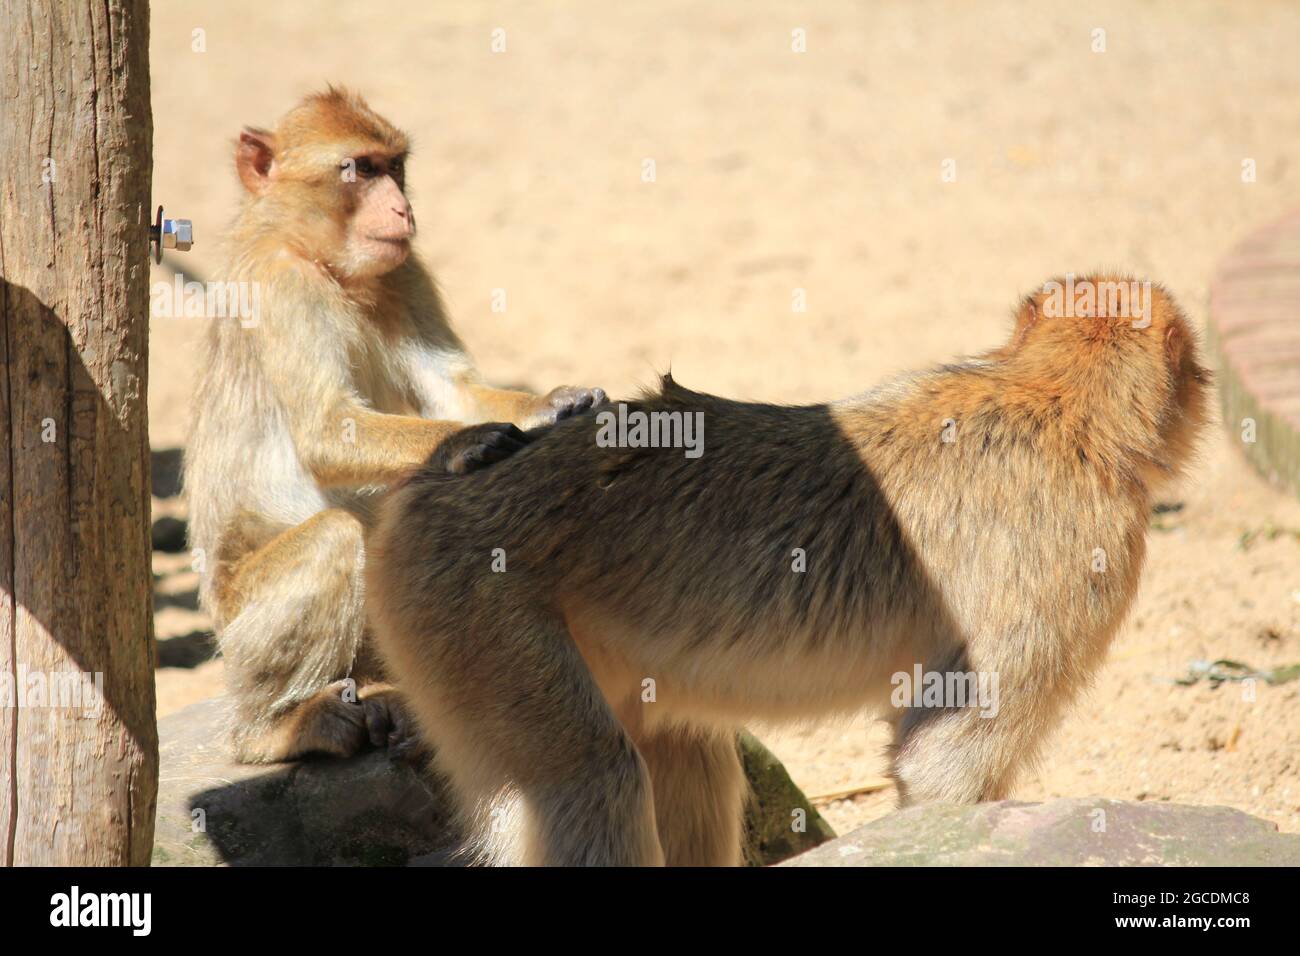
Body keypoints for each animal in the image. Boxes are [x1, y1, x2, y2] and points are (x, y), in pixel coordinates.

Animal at [184, 87, 605, 764]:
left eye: (395, 165)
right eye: (358, 168)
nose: (402, 209)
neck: (329, 267)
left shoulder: (406, 272)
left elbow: (451, 389)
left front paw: (556, 403)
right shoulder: (282, 287)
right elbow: (328, 432)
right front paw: (468, 442)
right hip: (241, 626)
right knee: (336, 540)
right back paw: (276, 729)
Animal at [365, 274, 1211, 866]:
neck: (1054, 399)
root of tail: (424, 491)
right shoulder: (1080, 560)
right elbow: (942, 762)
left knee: (687, 754)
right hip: (473, 607)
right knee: (593, 782)